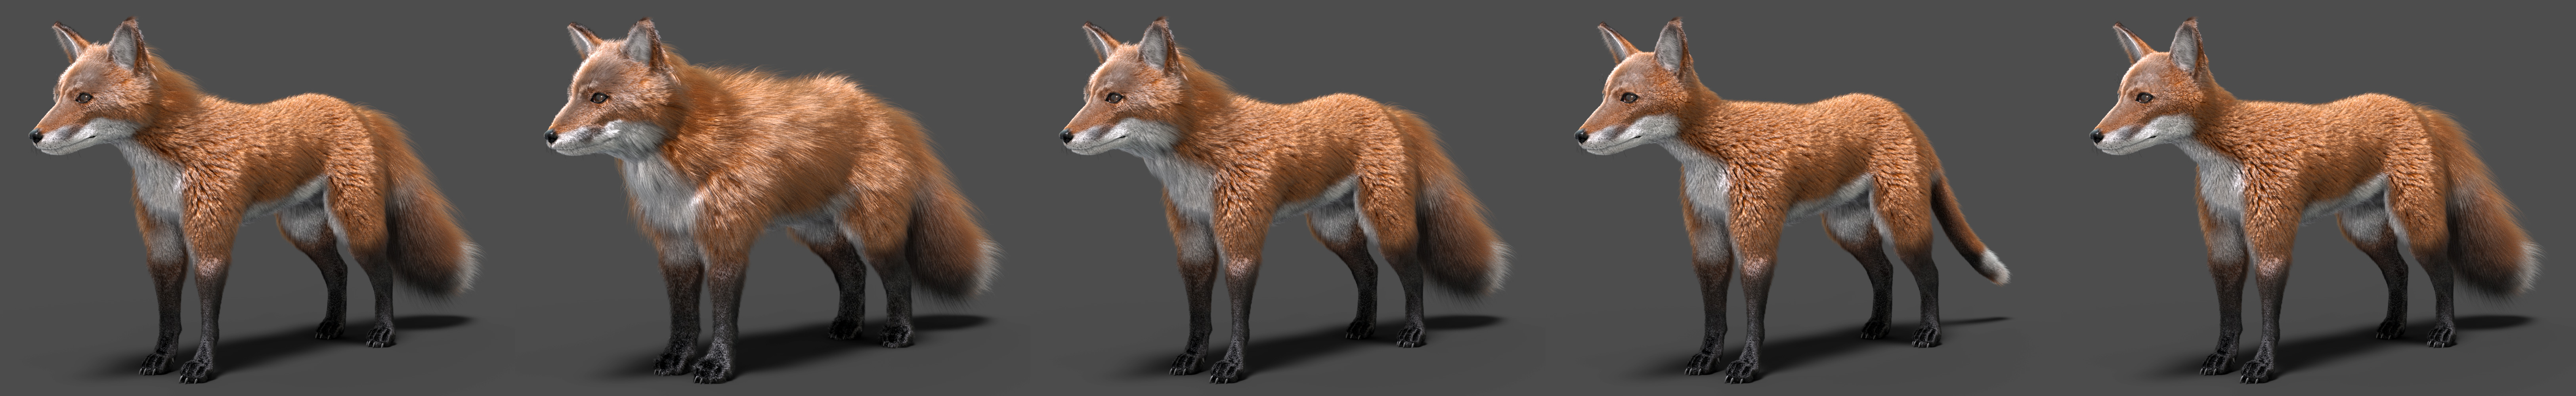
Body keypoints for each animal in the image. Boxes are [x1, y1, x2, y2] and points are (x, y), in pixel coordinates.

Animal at [28, 18, 479, 384]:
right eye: (57, 95)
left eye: (84, 98)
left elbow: (208, 318)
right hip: (303, 229)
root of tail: (355, 109)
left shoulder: (209, 235)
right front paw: (162, 358)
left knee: (382, 274)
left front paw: (202, 366)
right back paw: (333, 325)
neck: (169, 159)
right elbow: (168, 315)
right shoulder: (162, 239)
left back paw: (384, 331)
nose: (34, 136)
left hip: (356, 224)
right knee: (339, 271)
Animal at [544, 18, 999, 384]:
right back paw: (847, 325)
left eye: (599, 98)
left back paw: (899, 332)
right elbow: (683, 316)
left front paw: (718, 366)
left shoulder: (725, 242)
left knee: (899, 276)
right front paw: (677, 358)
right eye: (571, 95)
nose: (548, 136)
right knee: (853, 272)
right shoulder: (674, 245)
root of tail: (893, 115)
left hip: (873, 232)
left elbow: (722, 318)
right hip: (817, 233)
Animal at [1061, 18, 1510, 384]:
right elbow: (1198, 313)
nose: (1064, 136)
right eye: (1087, 96)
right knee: (1369, 272)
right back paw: (1363, 325)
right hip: (1333, 230)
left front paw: (1233, 366)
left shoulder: (1240, 235)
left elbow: (1238, 318)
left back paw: (1414, 331)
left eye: (1114, 98)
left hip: (1386, 225)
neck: (1198, 160)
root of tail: (1385, 109)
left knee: (1412, 274)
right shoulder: (1192, 239)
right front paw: (1192, 358)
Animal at [1575, 19, 2011, 384]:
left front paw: (1748, 365)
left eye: (1629, 98)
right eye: (1604, 96)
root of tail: (1902, 115)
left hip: (1899, 221)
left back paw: (1930, 331)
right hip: (1848, 229)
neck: (1712, 154)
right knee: (1884, 271)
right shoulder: (1707, 237)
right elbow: (1714, 315)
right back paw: (1878, 325)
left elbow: (1754, 318)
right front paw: (1707, 357)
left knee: (1930, 273)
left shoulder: (1755, 233)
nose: (1579, 136)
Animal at [2092, 18, 2540, 383]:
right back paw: (2393, 325)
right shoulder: (2222, 237)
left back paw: (2444, 331)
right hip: (2363, 229)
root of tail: (2413, 108)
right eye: (2119, 95)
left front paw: (2263, 366)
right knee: (2399, 272)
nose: (2094, 136)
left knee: (2443, 274)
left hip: (2415, 224)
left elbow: (2268, 318)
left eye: (2144, 99)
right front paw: (2222, 358)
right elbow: (2229, 314)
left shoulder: (2270, 234)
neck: (2228, 154)